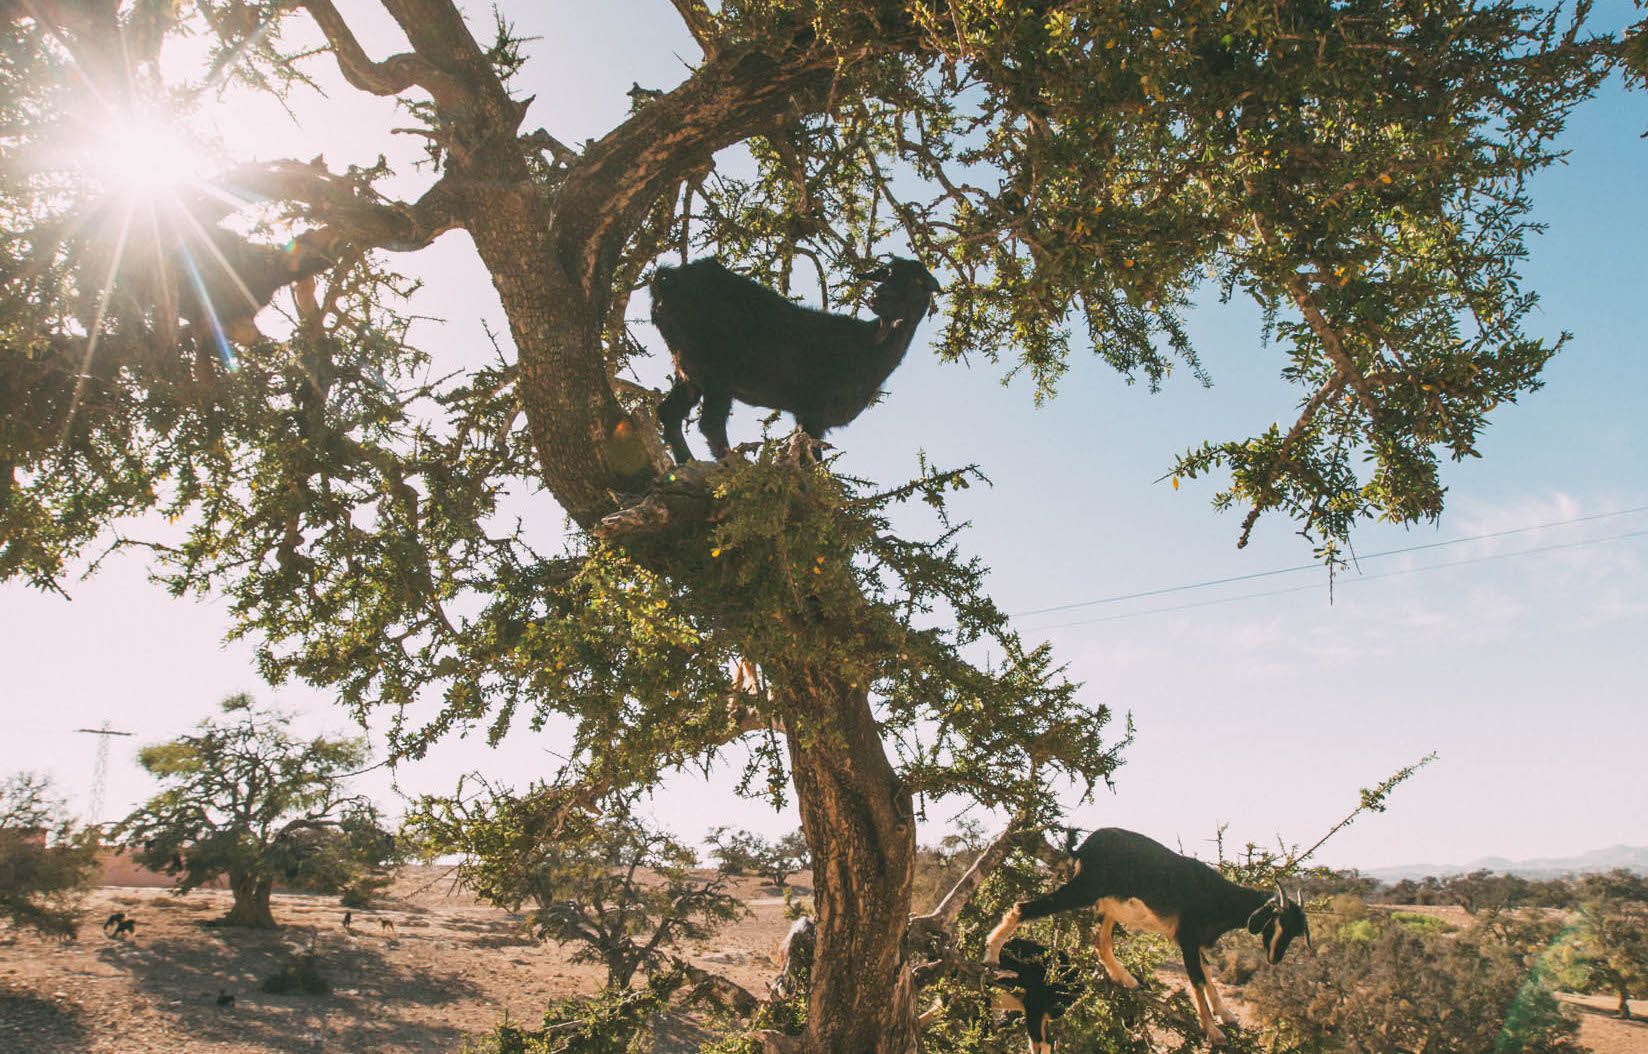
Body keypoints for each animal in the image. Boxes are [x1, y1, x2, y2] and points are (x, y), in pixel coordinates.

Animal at [651, 257, 941, 462]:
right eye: (887, 274)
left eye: (918, 282)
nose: (879, 297)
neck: (868, 348)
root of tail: (668, 282)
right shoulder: (814, 409)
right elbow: (812, 459)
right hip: (716, 366)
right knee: (710, 423)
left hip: (689, 369)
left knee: (669, 413)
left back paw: (686, 461)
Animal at [984, 827, 1311, 1046]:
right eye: (1279, 923)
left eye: (1297, 931)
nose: (1275, 958)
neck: (1217, 896)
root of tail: (1084, 848)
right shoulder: (1187, 939)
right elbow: (1197, 981)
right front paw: (1214, 1031)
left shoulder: (1191, 941)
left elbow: (1207, 974)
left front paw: (1226, 1015)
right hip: (1084, 890)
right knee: (1023, 907)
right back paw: (992, 953)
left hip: (1107, 905)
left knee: (1101, 943)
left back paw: (1127, 980)